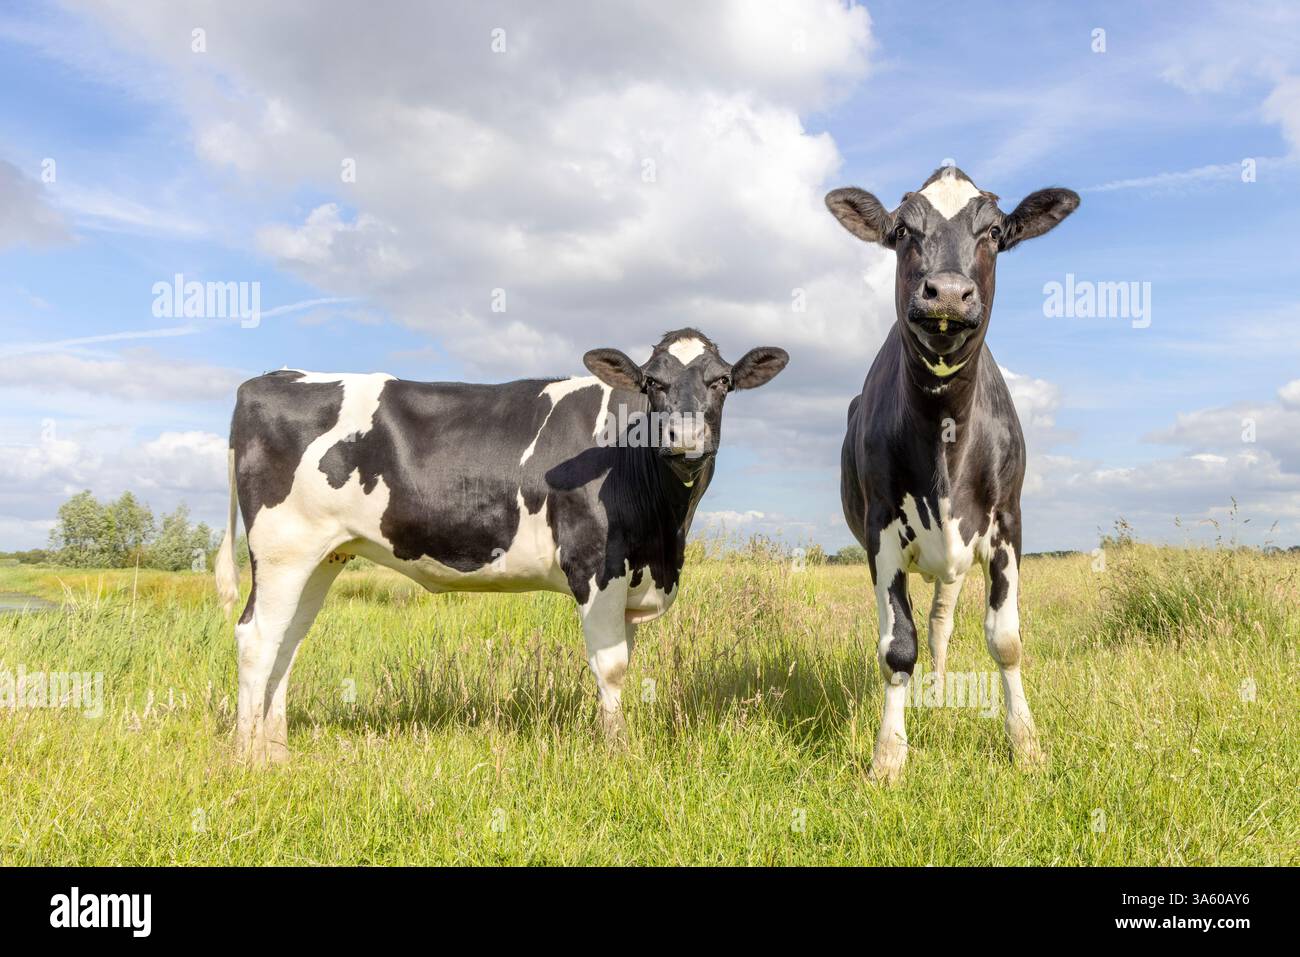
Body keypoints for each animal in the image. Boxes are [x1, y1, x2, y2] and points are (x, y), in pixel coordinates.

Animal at [214, 329, 788, 763]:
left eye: (722, 381)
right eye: (653, 382)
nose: (684, 439)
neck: (667, 533)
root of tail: (270, 377)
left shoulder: (635, 576)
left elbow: (621, 663)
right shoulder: (595, 566)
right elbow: (611, 666)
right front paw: (617, 755)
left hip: (324, 556)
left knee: (288, 642)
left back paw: (277, 755)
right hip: (283, 549)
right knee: (257, 638)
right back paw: (247, 758)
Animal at [825, 166, 1079, 782]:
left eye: (994, 231)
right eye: (902, 230)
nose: (947, 292)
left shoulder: (1007, 522)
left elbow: (1006, 640)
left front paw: (1026, 743)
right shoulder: (880, 531)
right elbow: (897, 645)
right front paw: (888, 757)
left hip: (957, 559)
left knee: (942, 623)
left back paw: (939, 693)